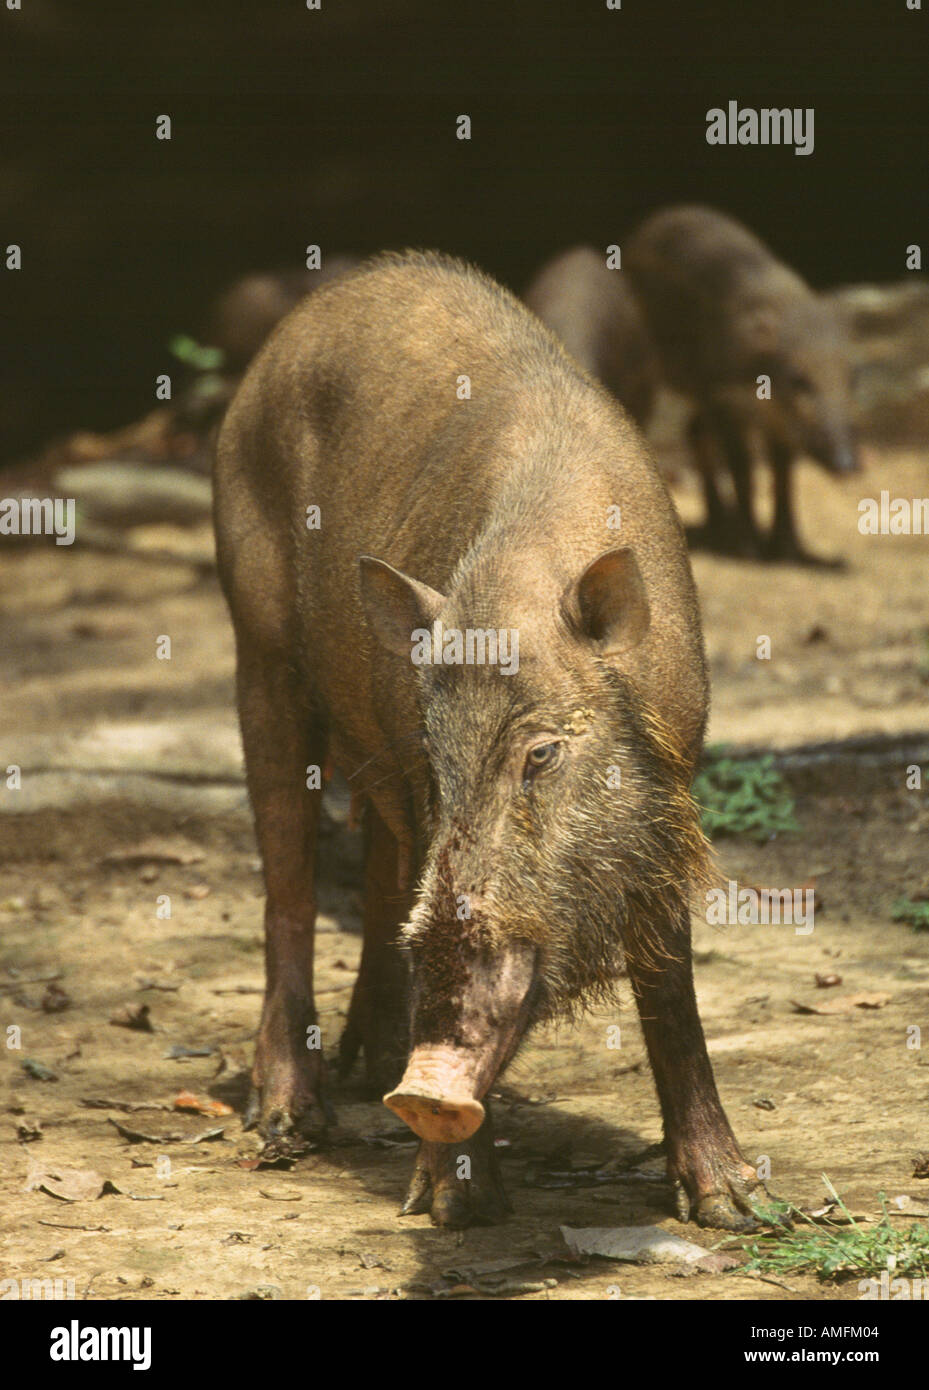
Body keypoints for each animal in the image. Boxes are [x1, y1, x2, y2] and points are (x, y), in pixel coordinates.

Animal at [624, 205, 860, 562]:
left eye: (853, 377)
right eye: (798, 379)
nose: (848, 465)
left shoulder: (775, 422)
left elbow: (782, 473)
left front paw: (787, 548)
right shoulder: (725, 400)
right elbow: (744, 469)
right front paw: (748, 548)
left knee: (695, 432)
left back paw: (719, 522)